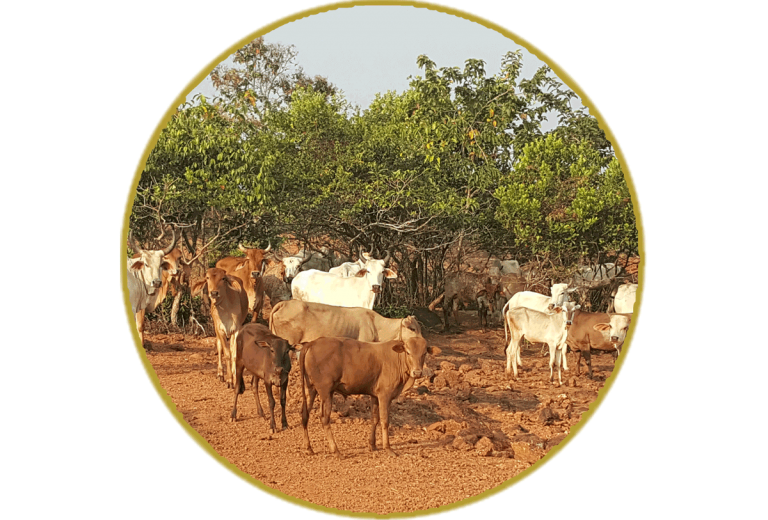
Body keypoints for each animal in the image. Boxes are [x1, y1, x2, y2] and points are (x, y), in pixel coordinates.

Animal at [299, 336, 440, 458]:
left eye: (424, 353)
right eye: (408, 352)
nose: (417, 372)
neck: (397, 360)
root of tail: (313, 343)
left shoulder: (375, 396)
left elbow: (375, 418)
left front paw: (372, 445)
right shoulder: (385, 395)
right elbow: (385, 421)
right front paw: (388, 448)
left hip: (311, 389)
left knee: (305, 414)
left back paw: (309, 448)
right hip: (326, 391)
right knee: (324, 418)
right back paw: (336, 451)